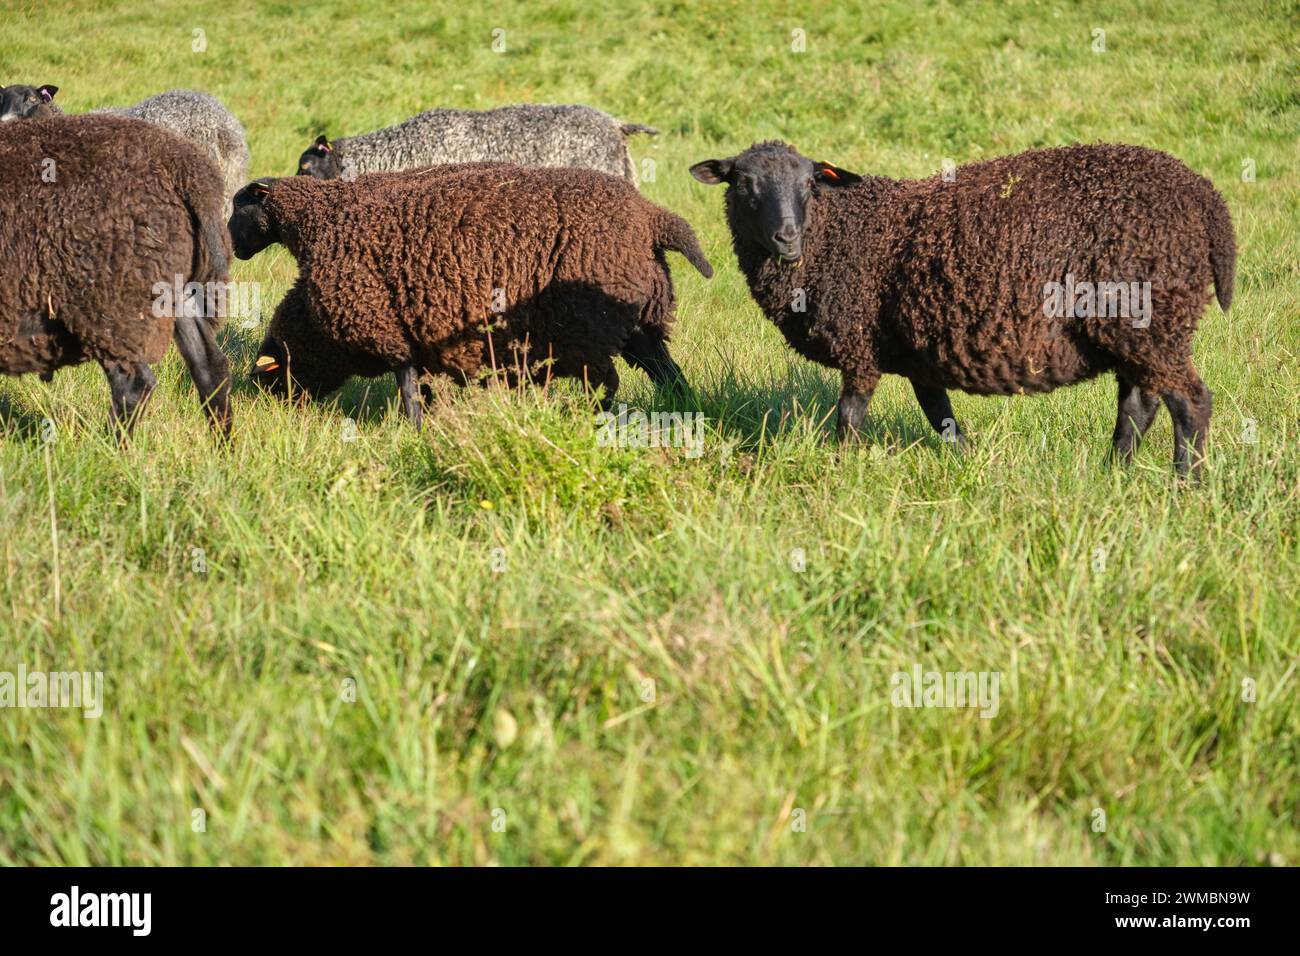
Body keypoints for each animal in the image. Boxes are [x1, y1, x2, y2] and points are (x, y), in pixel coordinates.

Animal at [0, 114, 233, 438]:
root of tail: (185, 169)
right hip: (171, 291)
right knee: (210, 367)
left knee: (134, 383)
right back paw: (224, 446)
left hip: (114, 304)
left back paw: (110, 446)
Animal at [227, 163, 713, 427]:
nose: (231, 245)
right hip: (638, 317)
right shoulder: (421, 336)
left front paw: (415, 432)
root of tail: (652, 218)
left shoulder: (389, 329)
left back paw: (588, 420)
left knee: (607, 385)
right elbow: (424, 387)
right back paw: (683, 408)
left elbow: (408, 390)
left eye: (240, 206)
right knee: (665, 369)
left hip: (588, 329)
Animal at [690, 141, 1236, 478]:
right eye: (743, 183)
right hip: (1141, 331)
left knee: (1190, 402)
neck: (835, 234)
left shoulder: (859, 344)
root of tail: (1208, 200)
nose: (788, 237)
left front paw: (840, 470)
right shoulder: (916, 355)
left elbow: (848, 419)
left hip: (1149, 322)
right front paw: (973, 464)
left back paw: (1186, 486)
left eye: (809, 185)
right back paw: (1115, 474)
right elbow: (942, 419)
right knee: (1139, 404)